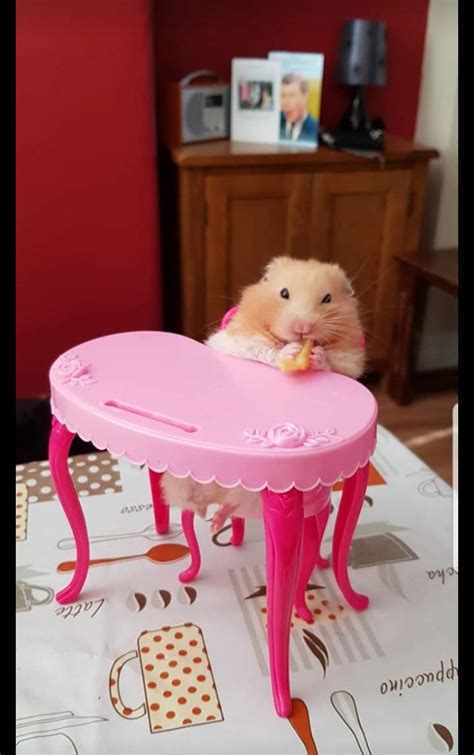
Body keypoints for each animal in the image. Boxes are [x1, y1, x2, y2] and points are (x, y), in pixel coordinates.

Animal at [161, 255, 365, 532]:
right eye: (284, 293)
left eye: (327, 298)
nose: (302, 328)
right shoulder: (238, 341)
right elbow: (262, 350)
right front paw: (290, 352)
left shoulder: (350, 363)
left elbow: (334, 363)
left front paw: (315, 355)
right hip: (185, 480)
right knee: (197, 502)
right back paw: (206, 518)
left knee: (232, 506)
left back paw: (215, 521)